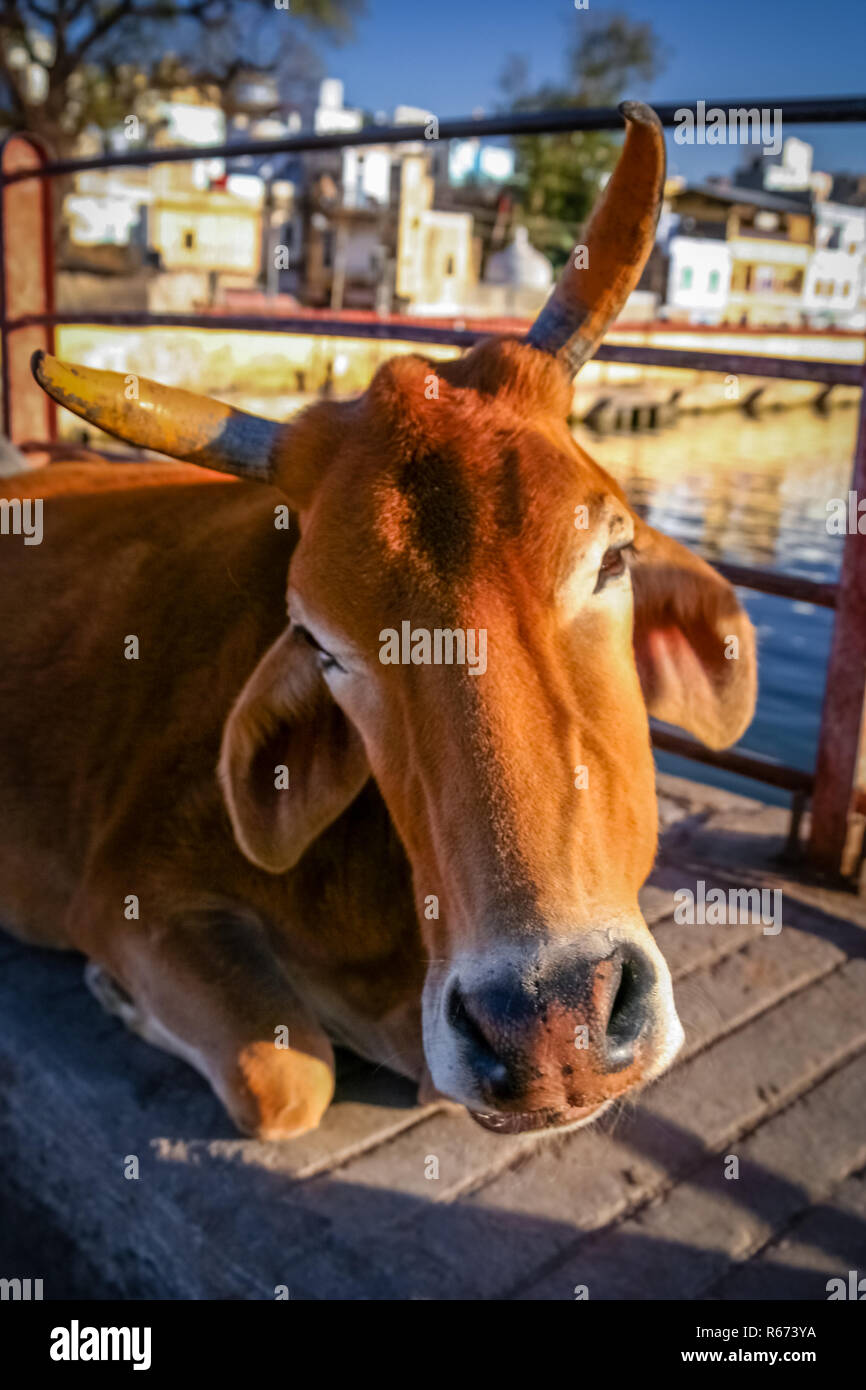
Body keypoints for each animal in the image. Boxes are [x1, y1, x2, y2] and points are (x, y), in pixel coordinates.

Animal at [0, 103, 755, 1140]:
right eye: (324, 645)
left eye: (613, 557)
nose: (550, 1027)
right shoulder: (127, 887)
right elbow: (291, 1080)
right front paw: (119, 997)